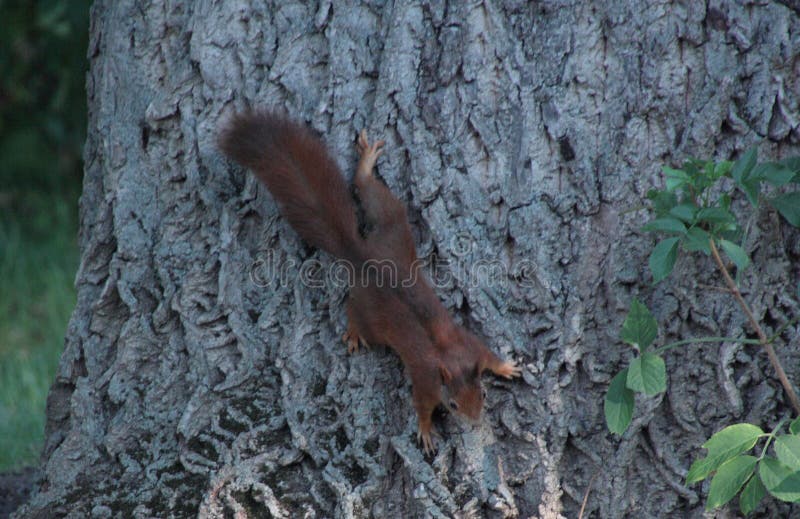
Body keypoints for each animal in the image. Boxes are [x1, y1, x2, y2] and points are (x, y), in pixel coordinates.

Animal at [218, 110, 521, 454]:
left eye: (482, 393)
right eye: (453, 404)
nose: (475, 421)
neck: (450, 360)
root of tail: (360, 255)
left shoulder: (471, 348)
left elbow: (489, 355)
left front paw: (506, 367)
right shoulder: (426, 382)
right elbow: (421, 407)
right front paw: (425, 431)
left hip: (391, 225)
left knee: (369, 192)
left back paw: (365, 164)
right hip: (372, 314)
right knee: (353, 311)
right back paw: (352, 333)